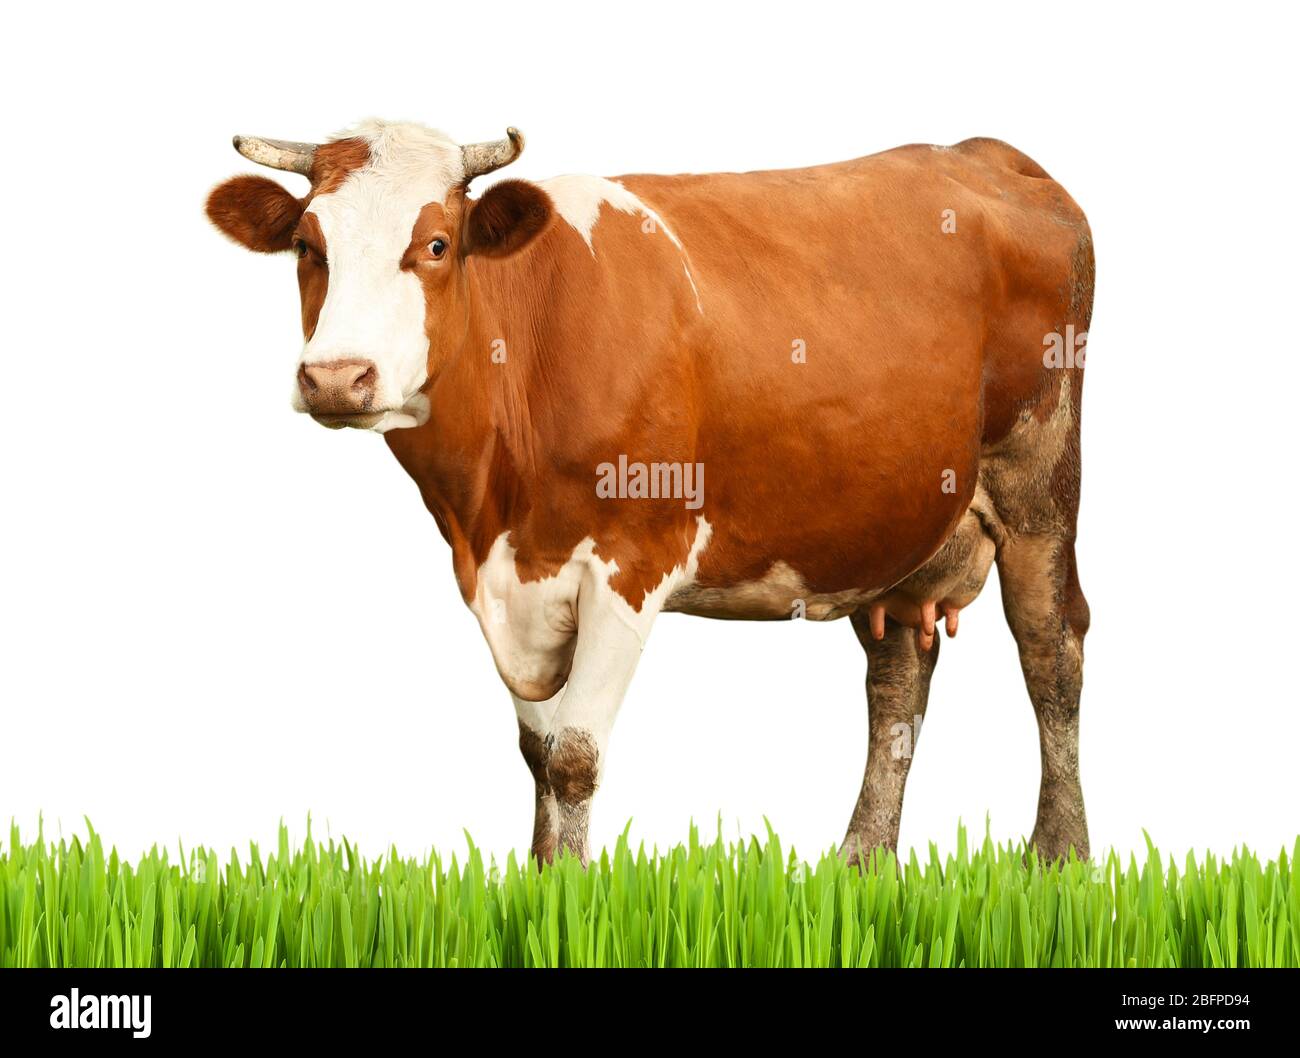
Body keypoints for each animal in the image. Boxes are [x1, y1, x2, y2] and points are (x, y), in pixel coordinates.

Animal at [207, 120, 1094, 866]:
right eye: (306, 246)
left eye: (435, 243)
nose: (336, 378)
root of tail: (981, 152)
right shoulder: (506, 584)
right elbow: (537, 753)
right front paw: (538, 885)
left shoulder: (628, 567)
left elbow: (573, 757)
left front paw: (568, 900)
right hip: (891, 522)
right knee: (898, 678)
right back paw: (861, 862)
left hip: (1040, 484)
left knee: (1052, 654)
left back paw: (1059, 856)